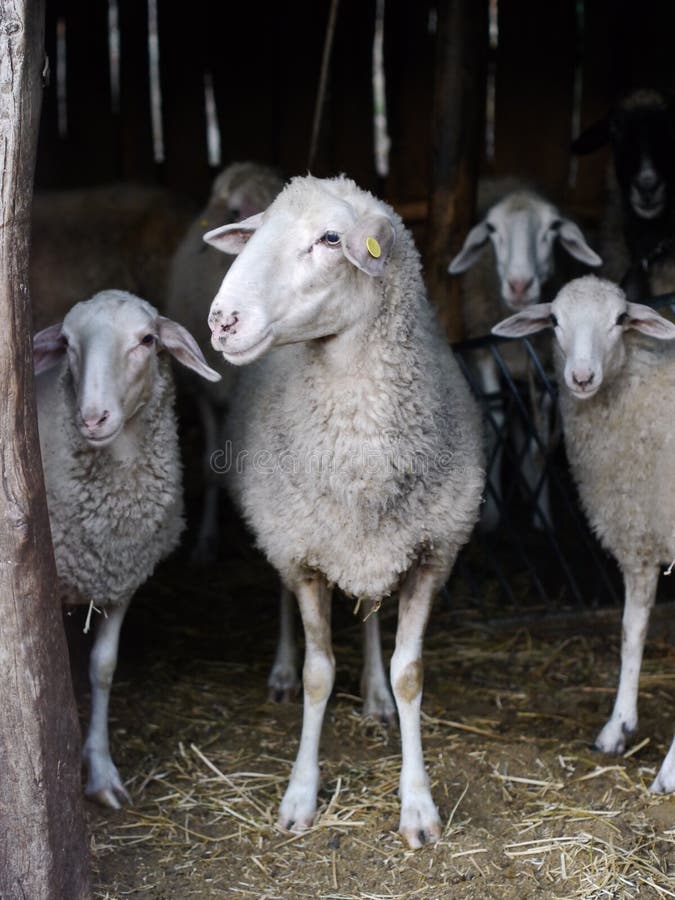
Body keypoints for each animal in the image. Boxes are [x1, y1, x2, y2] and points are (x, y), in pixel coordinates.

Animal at [33, 290, 221, 808]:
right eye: (68, 343)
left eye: (147, 340)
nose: (93, 417)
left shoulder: (121, 576)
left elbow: (102, 668)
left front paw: (100, 772)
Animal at [204, 174, 485, 847]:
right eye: (256, 231)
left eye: (331, 239)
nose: (222, 320)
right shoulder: (304, 556)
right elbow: (318, 674)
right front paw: (300, 797)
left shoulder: (431, 553)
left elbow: (411, 674)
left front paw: (418, 806)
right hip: (283, 532)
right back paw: (281, 671)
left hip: (374, 547)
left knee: (371, 612)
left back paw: (375, 696)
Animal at [448, 179, 601, 529]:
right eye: (492, 229)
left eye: (553, 228)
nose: (520, 285)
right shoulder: (486, 359)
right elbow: (496, 426)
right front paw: (491, 517)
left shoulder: (545, 366)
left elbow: (539, 440)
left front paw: (543, 517)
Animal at [492, 275, 675, 792]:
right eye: (555, 320)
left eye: (621, 319)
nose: (581, 378)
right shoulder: (638, 533)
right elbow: (632, 629)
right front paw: (618, 727)